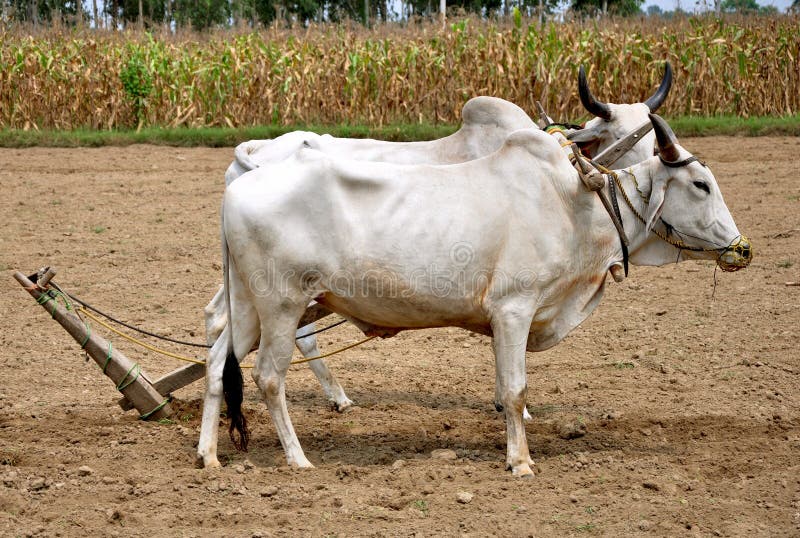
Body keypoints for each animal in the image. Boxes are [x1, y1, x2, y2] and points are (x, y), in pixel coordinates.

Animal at [196, 114, 752, 477]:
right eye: (701, 184)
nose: (742, 249)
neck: (574, 204)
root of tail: (237, 188)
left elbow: (508, 391)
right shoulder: (514, 310)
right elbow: (516, 389)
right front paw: (521, 462)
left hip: (250, 307)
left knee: (218, 363)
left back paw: (209, 455)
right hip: (283, 305)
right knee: (269, 378)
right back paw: (297, 458)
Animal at [203, 67, 674, 413]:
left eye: (653, 134)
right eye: (623, 137)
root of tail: (253, 152)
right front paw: (513, 408)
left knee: (220, 319)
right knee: (268, 329)